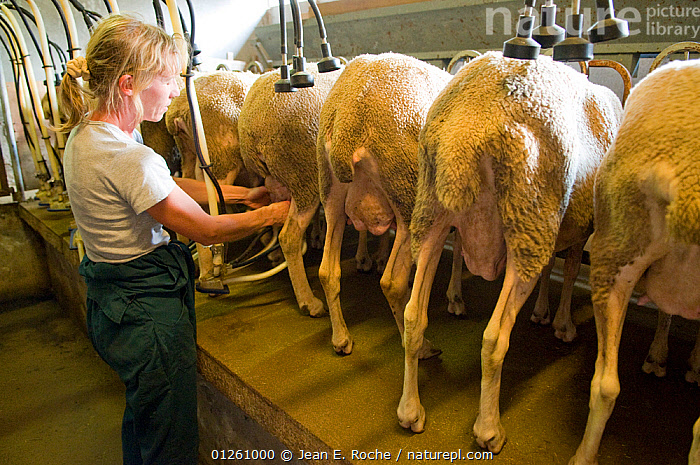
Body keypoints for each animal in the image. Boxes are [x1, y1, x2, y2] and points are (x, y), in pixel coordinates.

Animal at [316, 52, 453, 356]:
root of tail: (350, 118)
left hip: (331, 194)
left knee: (327, 272)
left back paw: (341, 338)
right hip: (407, 192)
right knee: (391, 283)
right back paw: (422, 347)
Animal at [396, 51, 622, 452]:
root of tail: (468, 127)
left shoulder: (558, 228)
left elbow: (554, 267)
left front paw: (543, 312)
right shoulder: (578, 224)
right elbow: (571, 267)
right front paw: (561, 323)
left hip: (432, 212)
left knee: (413, 317)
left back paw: (410, 411)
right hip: (529, 215)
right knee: (493, 338)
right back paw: (489, 429)